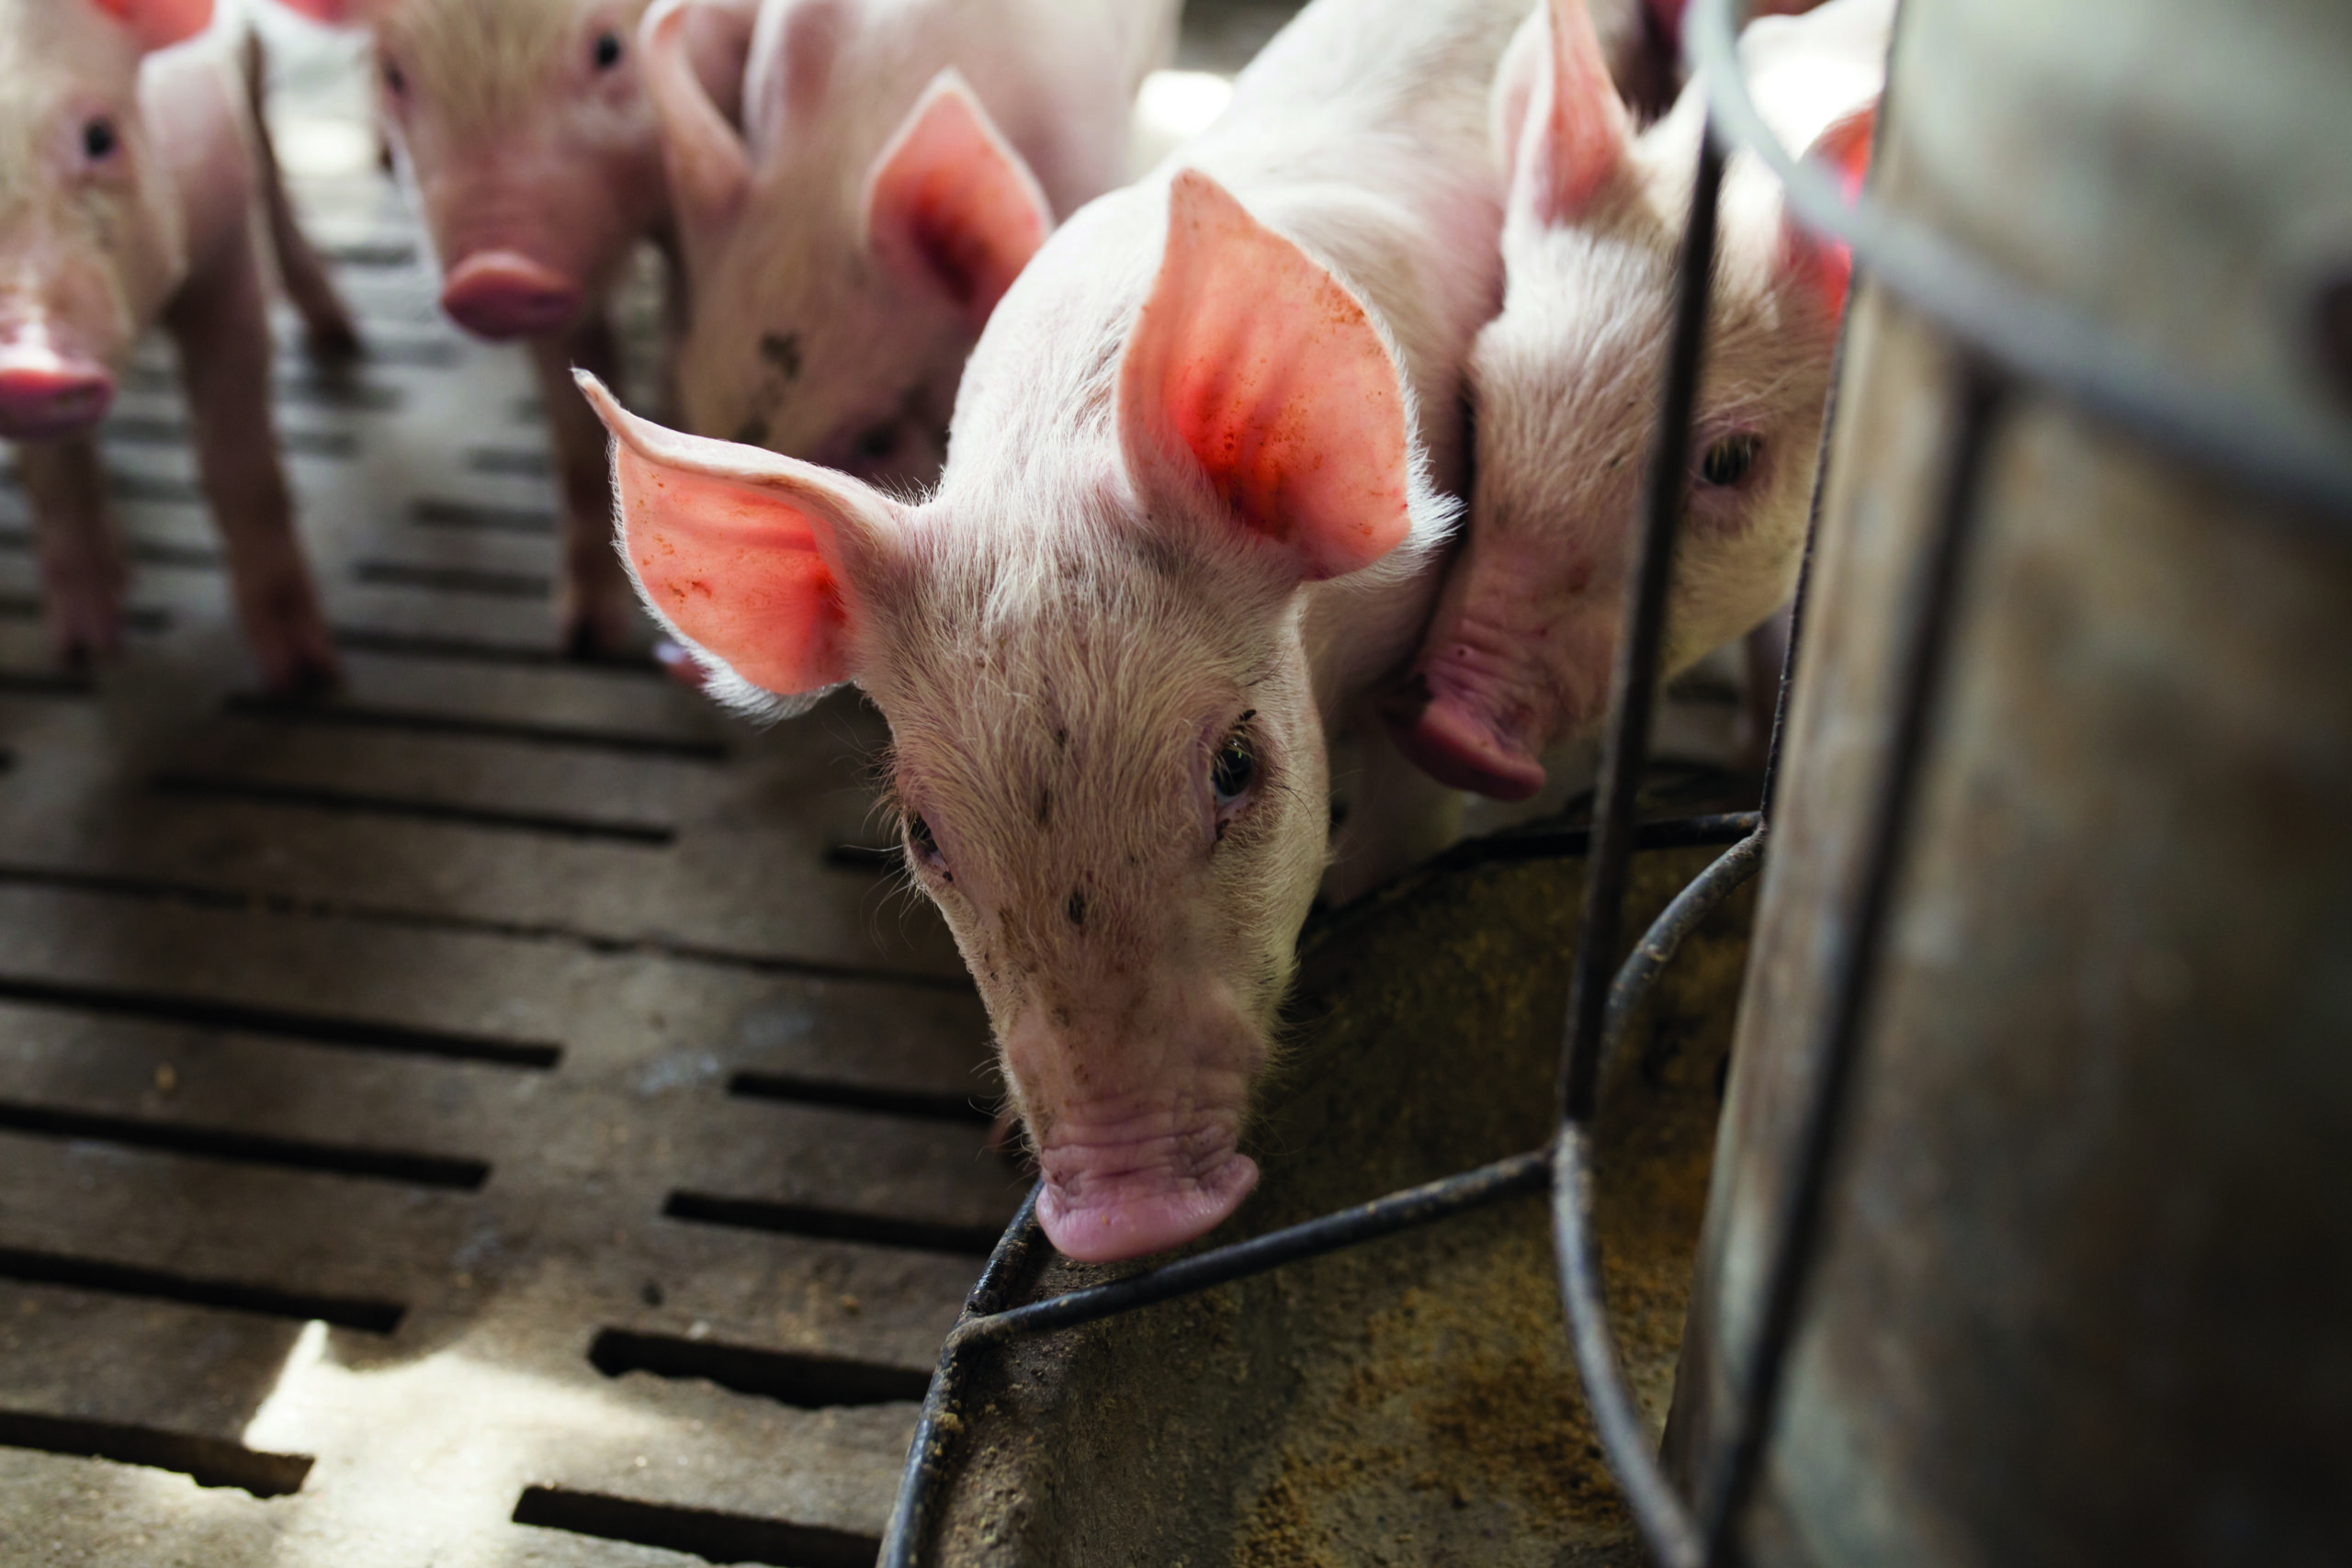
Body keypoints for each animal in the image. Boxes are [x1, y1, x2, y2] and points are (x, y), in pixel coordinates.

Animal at [0, 0, 354, 693]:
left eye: (99, 137)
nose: (19, 367)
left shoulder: (227, 245)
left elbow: (239, 457)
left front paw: (302, 672)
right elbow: (55, 471)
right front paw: (85, 652)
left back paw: (341, 335)